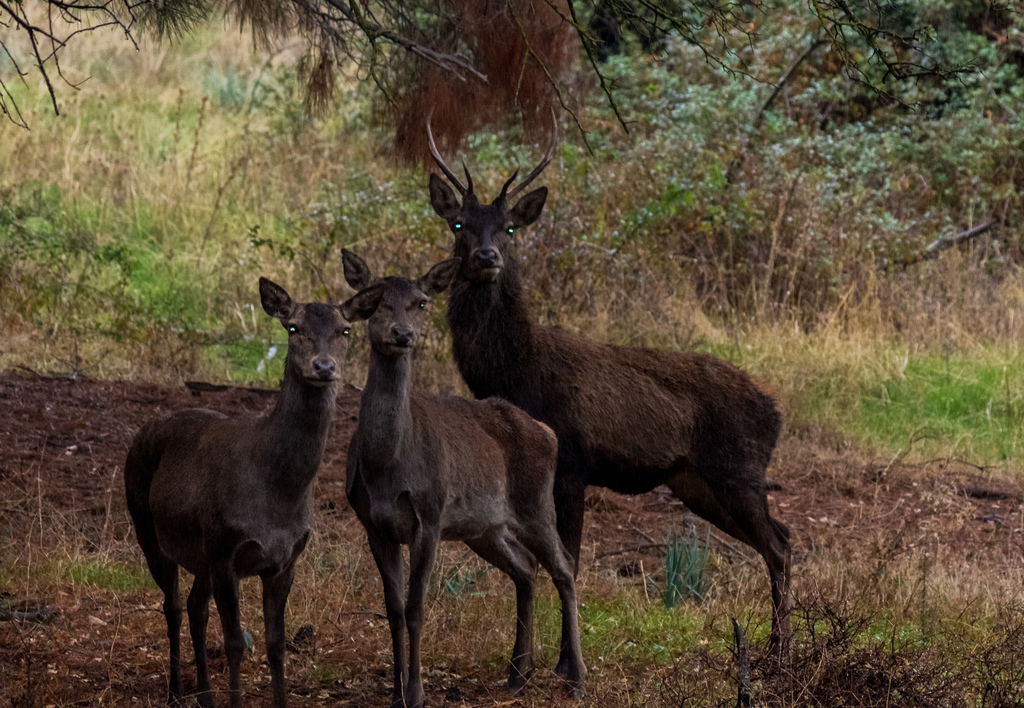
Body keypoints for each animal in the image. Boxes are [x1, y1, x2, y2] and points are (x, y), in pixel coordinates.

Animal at [124, 277, 384, 708]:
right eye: (293, 327)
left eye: (345, 330)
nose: (324, 367)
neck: (277, 494)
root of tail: (142, 431)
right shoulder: (226, 551)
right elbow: (234, 643)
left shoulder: (284, 560)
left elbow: (275, 643)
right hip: (148, 527)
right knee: (173, 605)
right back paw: (176, 692)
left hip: (201, 551)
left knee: (195, 607)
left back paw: (205, 695)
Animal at [342, 250, 586, 708]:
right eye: (375, 301)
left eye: (421, 302)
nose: (403, 334)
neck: (386, 466)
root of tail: (547, 432)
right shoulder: (374, 526)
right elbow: (393, 609)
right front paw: (395, 692)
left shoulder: (430, 515)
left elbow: (416, 608)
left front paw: (416, 693)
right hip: (484, 527)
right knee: (525, 568)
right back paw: (517, 676)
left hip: (535, 504)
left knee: (564, 567)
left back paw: (576, 678)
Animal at [424, 119, 793, 653]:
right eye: (459, 225)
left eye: (509, 227)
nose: (486, 255)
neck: (519, 372)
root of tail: (778, 411)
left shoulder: (574, 463)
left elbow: (570, 565)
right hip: (696, 482)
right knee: (783, 536)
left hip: (738, 471)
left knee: (780, 547)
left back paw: (777, 650)